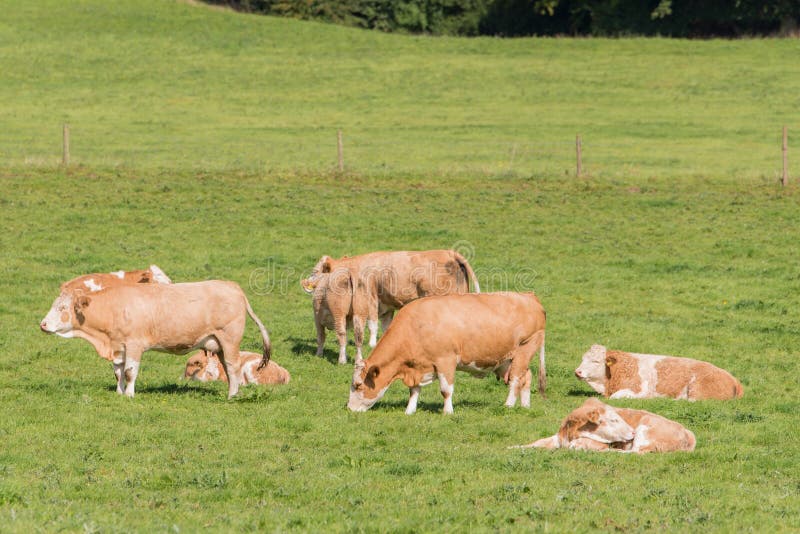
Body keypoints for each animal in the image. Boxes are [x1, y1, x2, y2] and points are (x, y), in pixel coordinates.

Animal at [40, 280, 271, 398]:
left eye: (62, 308)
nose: (43, 324)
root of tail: (233, 286)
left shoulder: (134, 345)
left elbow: (130, 372)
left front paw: (129, 395)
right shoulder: (119, 347)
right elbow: (118, 373)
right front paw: (119, 392)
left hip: (230, 340)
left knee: (232, 367)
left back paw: (232, 395)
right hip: (219, 344)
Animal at [302, 250, 480, 363]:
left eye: (315, 271)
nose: (306, 284)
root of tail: (450, 253)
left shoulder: (372, 299)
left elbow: (372, 324)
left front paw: (372, 343)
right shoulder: (386, 306)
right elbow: (385, 326)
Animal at [347, 292, 546, 415]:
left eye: (358, 385)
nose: (349, 408)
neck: (416, 325)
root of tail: (530, 297)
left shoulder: (446, 360)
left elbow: (446, 390)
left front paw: (447, 411)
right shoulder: (417, 365)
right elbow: (414, 390)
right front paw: (409, 410)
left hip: (525, 348)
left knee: (515, 380)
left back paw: (509, 405)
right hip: (507, 360)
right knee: (526, 376)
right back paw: (525, 406)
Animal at [516, 398, 696, 453]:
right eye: (613, 420)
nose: (631, 431)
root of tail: (687, 432)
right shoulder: (557, 438)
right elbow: (536, 443)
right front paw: (514, 448)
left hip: (644, 430)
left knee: (634, 452)